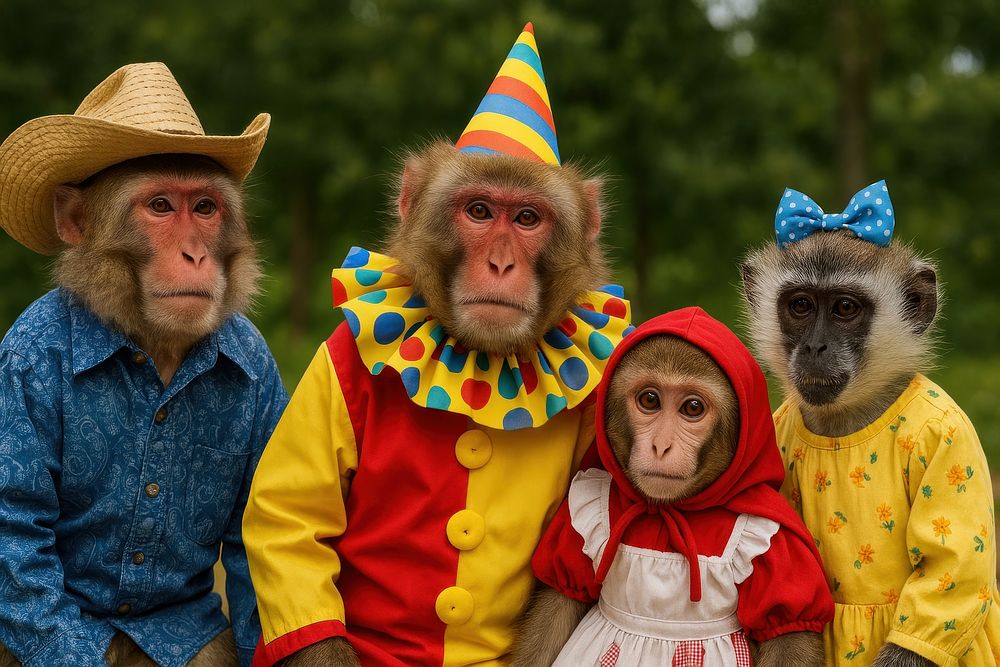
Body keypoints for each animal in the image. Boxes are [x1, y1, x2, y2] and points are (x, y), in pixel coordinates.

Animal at [0, 62, 284, 667]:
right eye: (160, 207)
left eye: (204, 208)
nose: (194, 254)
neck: (153, 346)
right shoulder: (22, 364)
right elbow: (18, 521)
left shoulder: (261, 363)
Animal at [242, 23, 634, 667]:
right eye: (479, 211)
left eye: (527, 220)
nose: (500, 263)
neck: (479, 361)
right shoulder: (338, 360)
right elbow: (293, 524)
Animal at [510, 307, 833, 666]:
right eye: (650, 400)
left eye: (693, 408)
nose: (661, 445)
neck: (668, 510)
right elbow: (559, 603)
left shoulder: (782, 544)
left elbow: (786, 636)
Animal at [741, 182, 1000, 666]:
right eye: (801, 306)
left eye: (845, 308)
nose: (816, 347)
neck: (848, 423)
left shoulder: (949, 436)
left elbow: (950, 576)